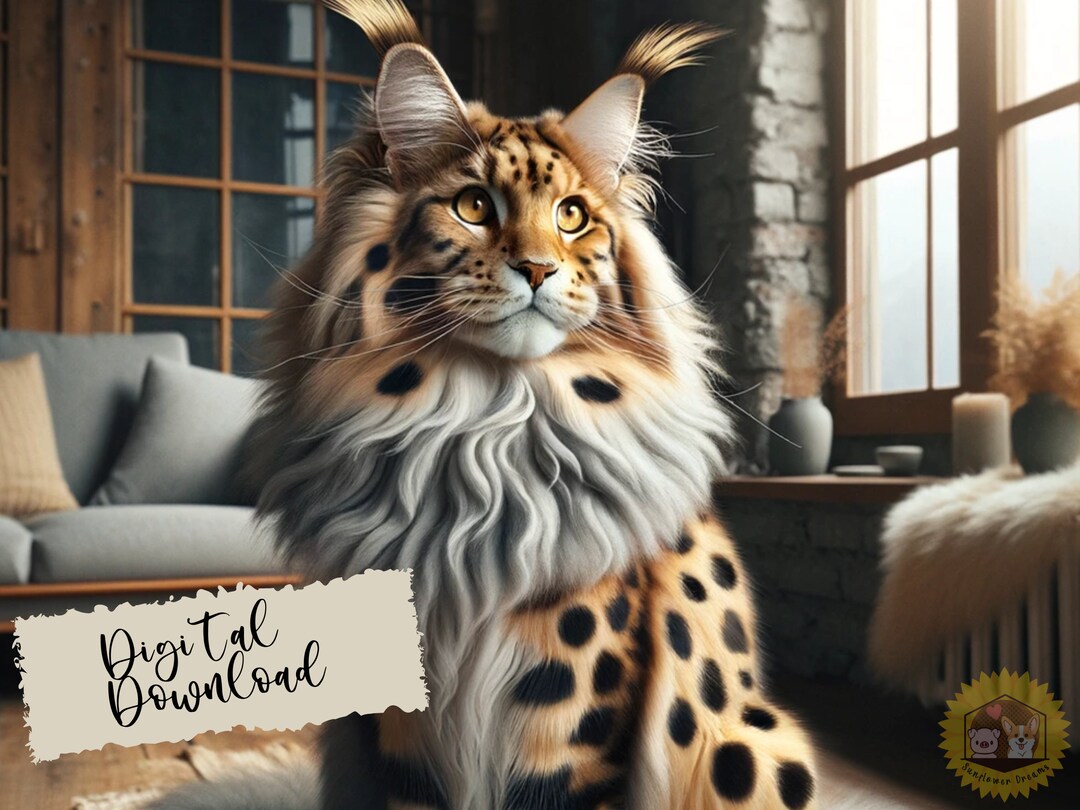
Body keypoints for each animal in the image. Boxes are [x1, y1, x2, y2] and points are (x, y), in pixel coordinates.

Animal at [152, 1, 816, 807]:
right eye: (473, 206)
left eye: (572, 216)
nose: (537, 268)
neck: (481, 435)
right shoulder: (404, 719)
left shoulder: (573, 711)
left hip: (757, 748)